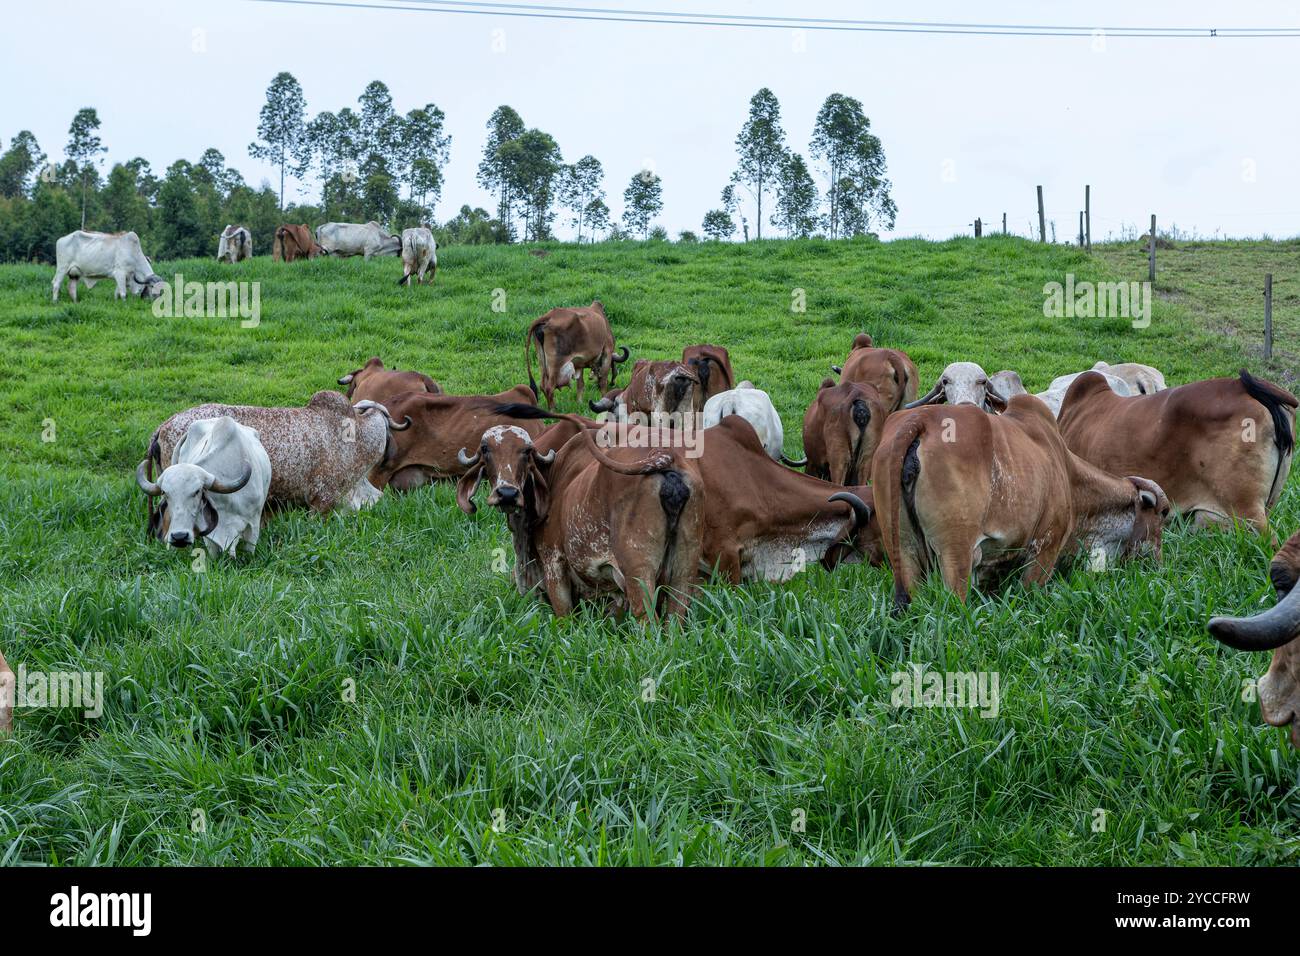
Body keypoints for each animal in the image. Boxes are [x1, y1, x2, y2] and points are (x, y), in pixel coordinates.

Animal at [456, 411, 704, 619]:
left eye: (526, 452)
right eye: (485, 450)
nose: (507, 494)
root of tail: (664, 455)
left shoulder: (554, 562)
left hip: (638, 571)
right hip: (684, 569)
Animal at [873, 396, 1169, 611]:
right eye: (1164, 514)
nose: (1159, 565)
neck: (1070, 476)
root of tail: (920, 419)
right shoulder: (1046, 546)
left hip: (904, 547)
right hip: (955, 553)